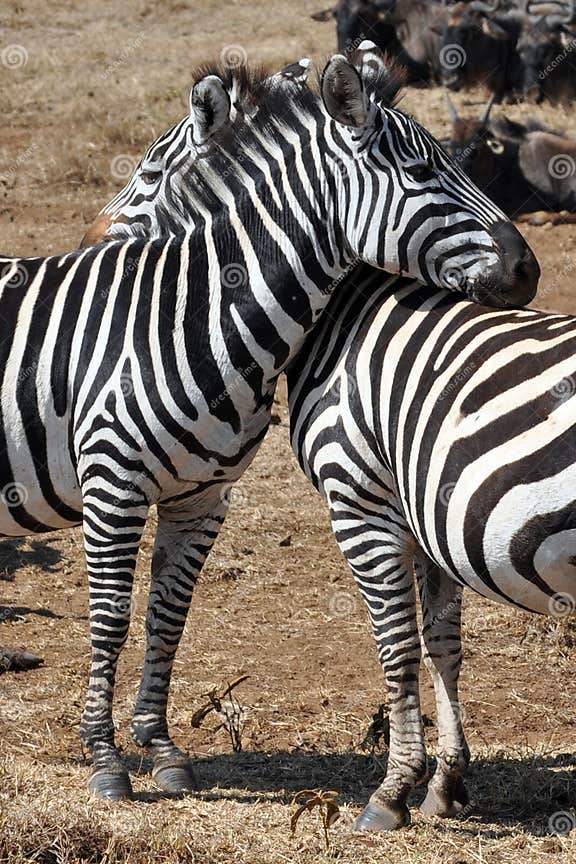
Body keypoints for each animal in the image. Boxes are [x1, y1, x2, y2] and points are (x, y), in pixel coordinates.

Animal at [2, 47, 539, 803]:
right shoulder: (111, 483)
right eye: (421, 172)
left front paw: (159, 749)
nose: (529, 268)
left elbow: (167, 617)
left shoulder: (203, 497)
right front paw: (106, 760)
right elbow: (109, 620)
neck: (191, 315)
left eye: (149, 171)